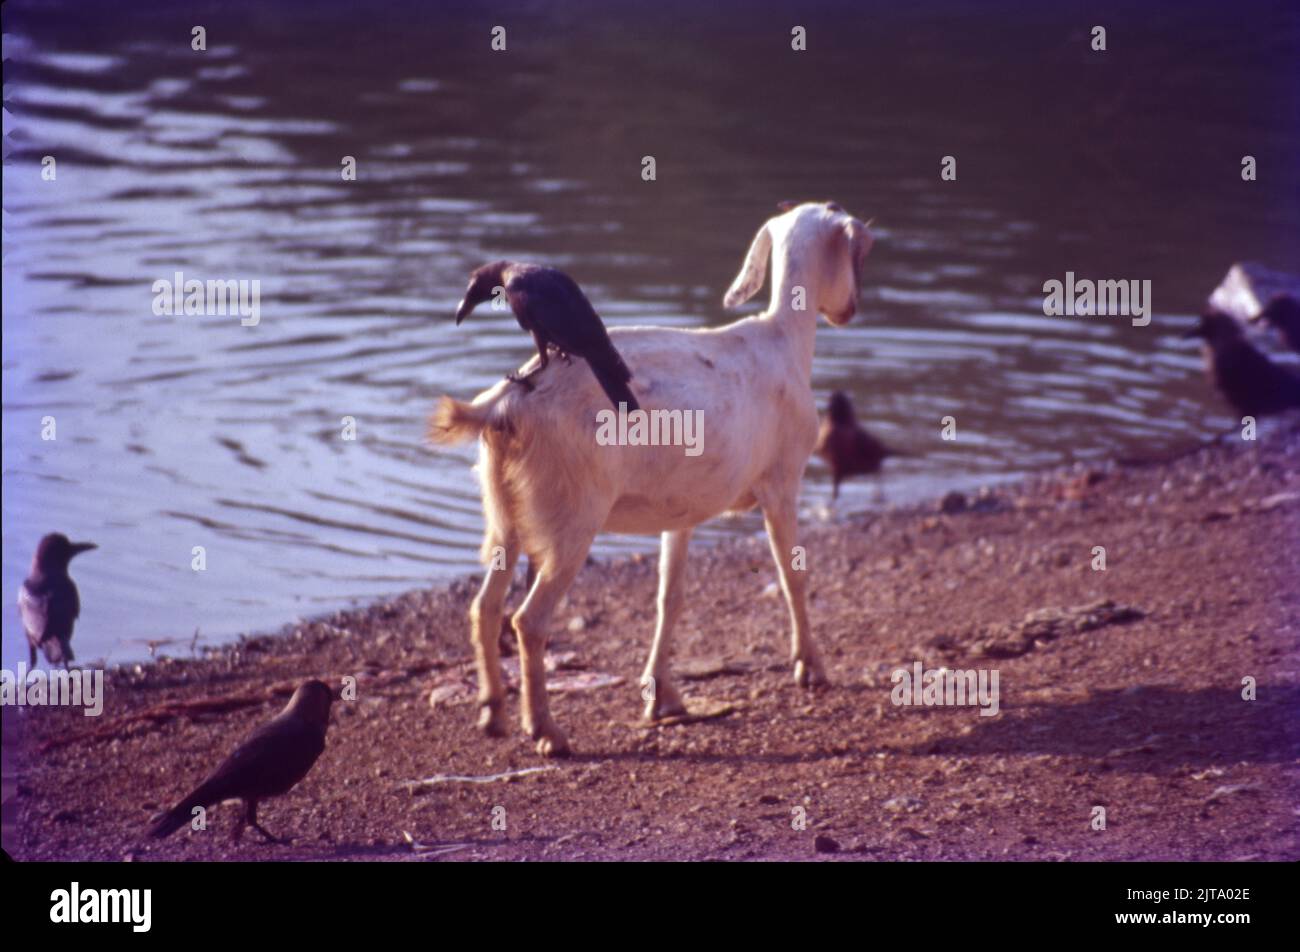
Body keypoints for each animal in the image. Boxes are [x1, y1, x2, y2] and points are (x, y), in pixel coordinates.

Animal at [430, 201, 874, 756]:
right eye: (859, 250)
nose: (849, 309)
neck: (781, 340)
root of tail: (501, 406)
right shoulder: (782, 480)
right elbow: (792, 574)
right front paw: (810, 669)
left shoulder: (681, 510)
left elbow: (670, 597)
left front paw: (664, 696)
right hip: (573, 516)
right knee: (528, 620)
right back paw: (548, 732)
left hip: (503, 513)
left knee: (485, 607)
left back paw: (493, 714)